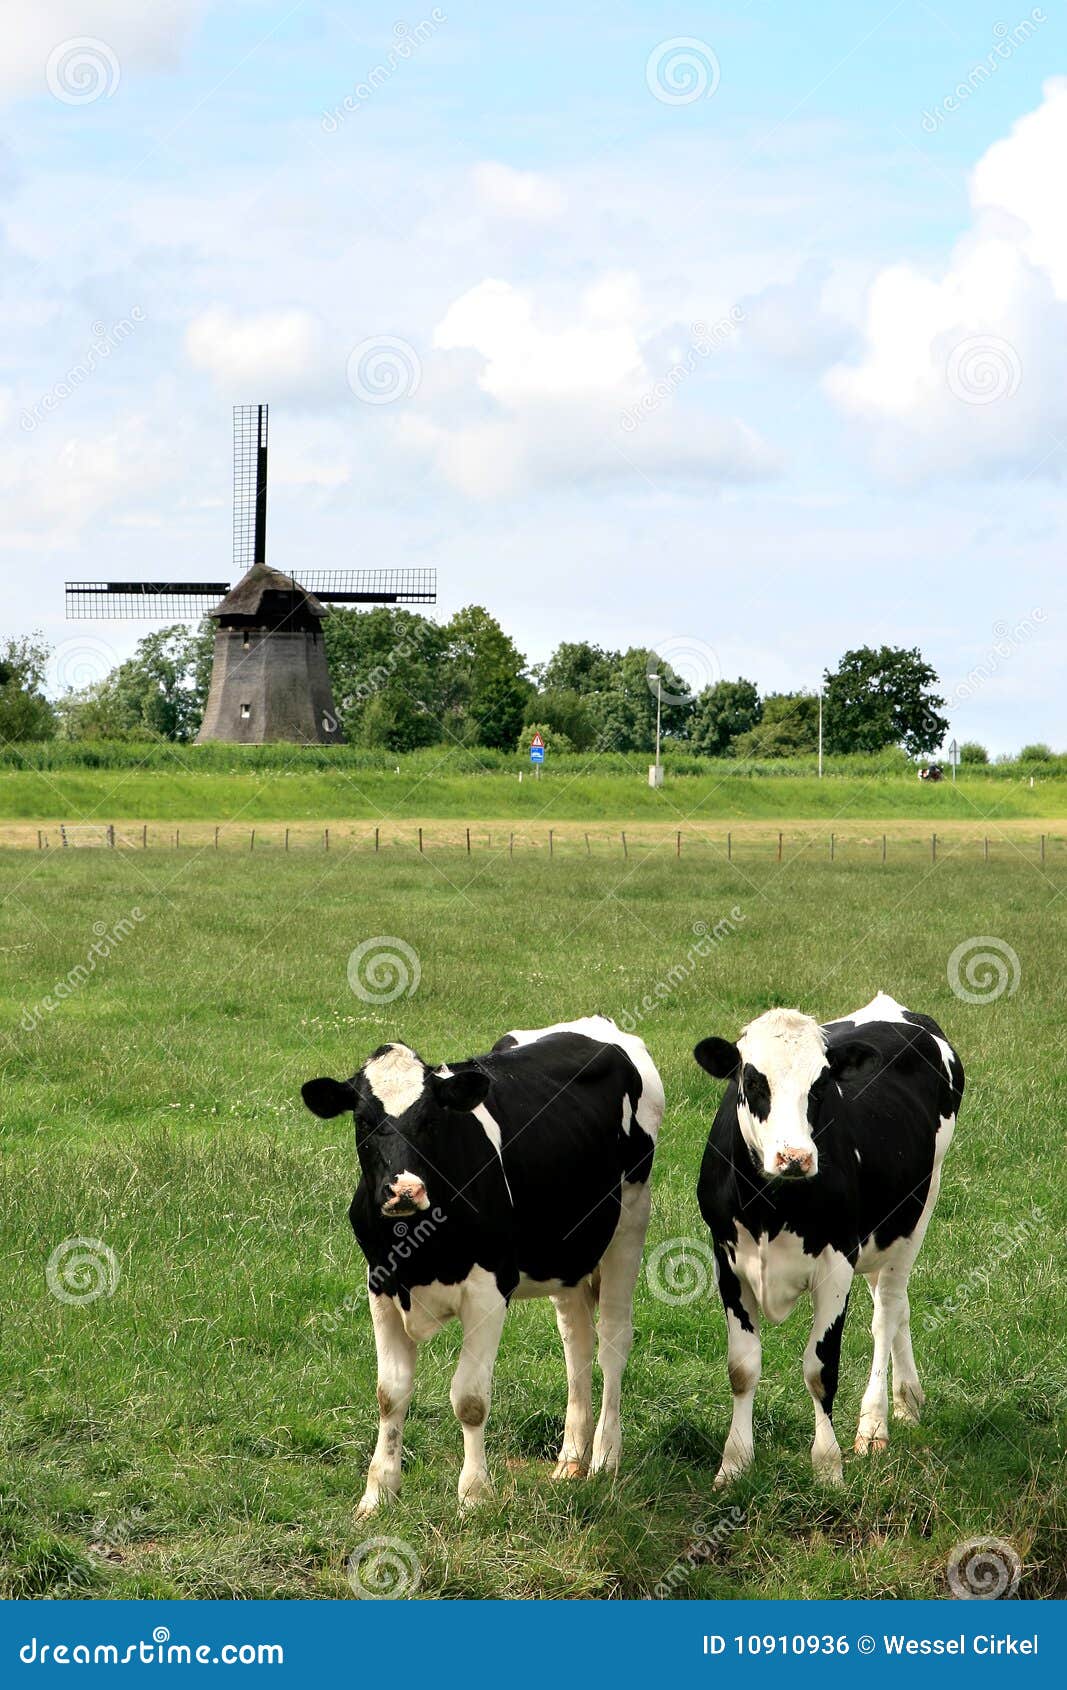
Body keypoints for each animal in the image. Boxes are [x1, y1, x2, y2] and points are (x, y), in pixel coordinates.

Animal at [301, 1015, 663, 1514]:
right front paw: (378, 1495)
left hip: (629, 1223)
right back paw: (571, 1458)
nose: (405, 1190)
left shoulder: (489, 1291)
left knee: (612, 1340)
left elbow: (470, 1398)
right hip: (568, 1257)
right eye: (363, 1120)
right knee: (577, 1342)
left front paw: (473, 1495)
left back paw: (605, 1458)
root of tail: (598, 1024)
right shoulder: (381, 1286)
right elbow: (390, 1395)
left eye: (431, 1118)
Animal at [693, 992, 963, 1488]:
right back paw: (907, 1399)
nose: (795, 1156)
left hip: (918, 1209)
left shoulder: (837, 1263)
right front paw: (734, 1465)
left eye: (820, 1085)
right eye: (752, 1080)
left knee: (887, 1311)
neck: (770, 1206)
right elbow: (742, 1368)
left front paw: (827, 1467)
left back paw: (875, 1423)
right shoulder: (728, 1263)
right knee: (897, 1306)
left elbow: (821, 1369)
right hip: (880, 1231)